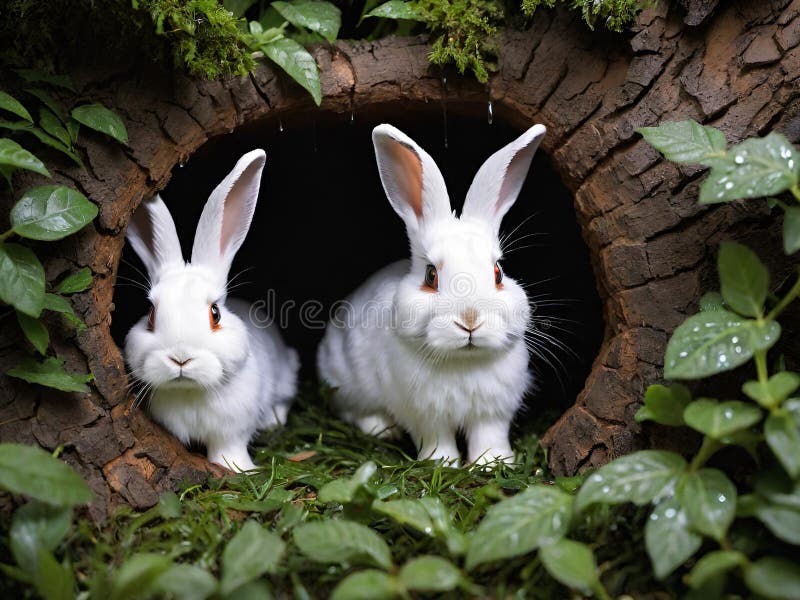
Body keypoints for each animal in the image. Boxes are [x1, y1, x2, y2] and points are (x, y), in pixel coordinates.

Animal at [124, 149, 299, 472]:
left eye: (215, 313)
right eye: (151, 314)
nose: (181, 358)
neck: (190, 392)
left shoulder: (233, 430)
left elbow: (229, 448)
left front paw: (238, 468)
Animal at [317, 123, 546, 465]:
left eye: (498, 273)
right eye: (430, 276)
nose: (470, 320)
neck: (464, 362)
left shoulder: (494, 412)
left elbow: (489, 436)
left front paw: (491, 464)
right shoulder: (424, 415)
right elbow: (436, 438)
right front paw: (442, 463)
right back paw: (380, 428)